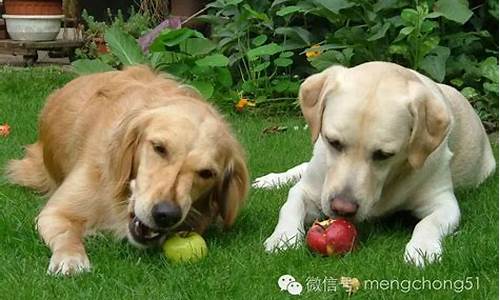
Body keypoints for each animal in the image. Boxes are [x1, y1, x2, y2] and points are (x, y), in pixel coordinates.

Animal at [6, 66, 249, 276]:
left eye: (207, 173)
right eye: (159, 148)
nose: (166, 215)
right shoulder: (54, 212)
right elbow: (67, 233)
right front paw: (71, 258)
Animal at [256, 61, 494, 268]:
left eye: (384, 155)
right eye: (333, 142)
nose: (342, 208)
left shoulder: (444, 202)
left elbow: (428, 223)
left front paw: (422, 249)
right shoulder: (308, 188)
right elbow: (290, 205)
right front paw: (283, 238)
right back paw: (270, 180)